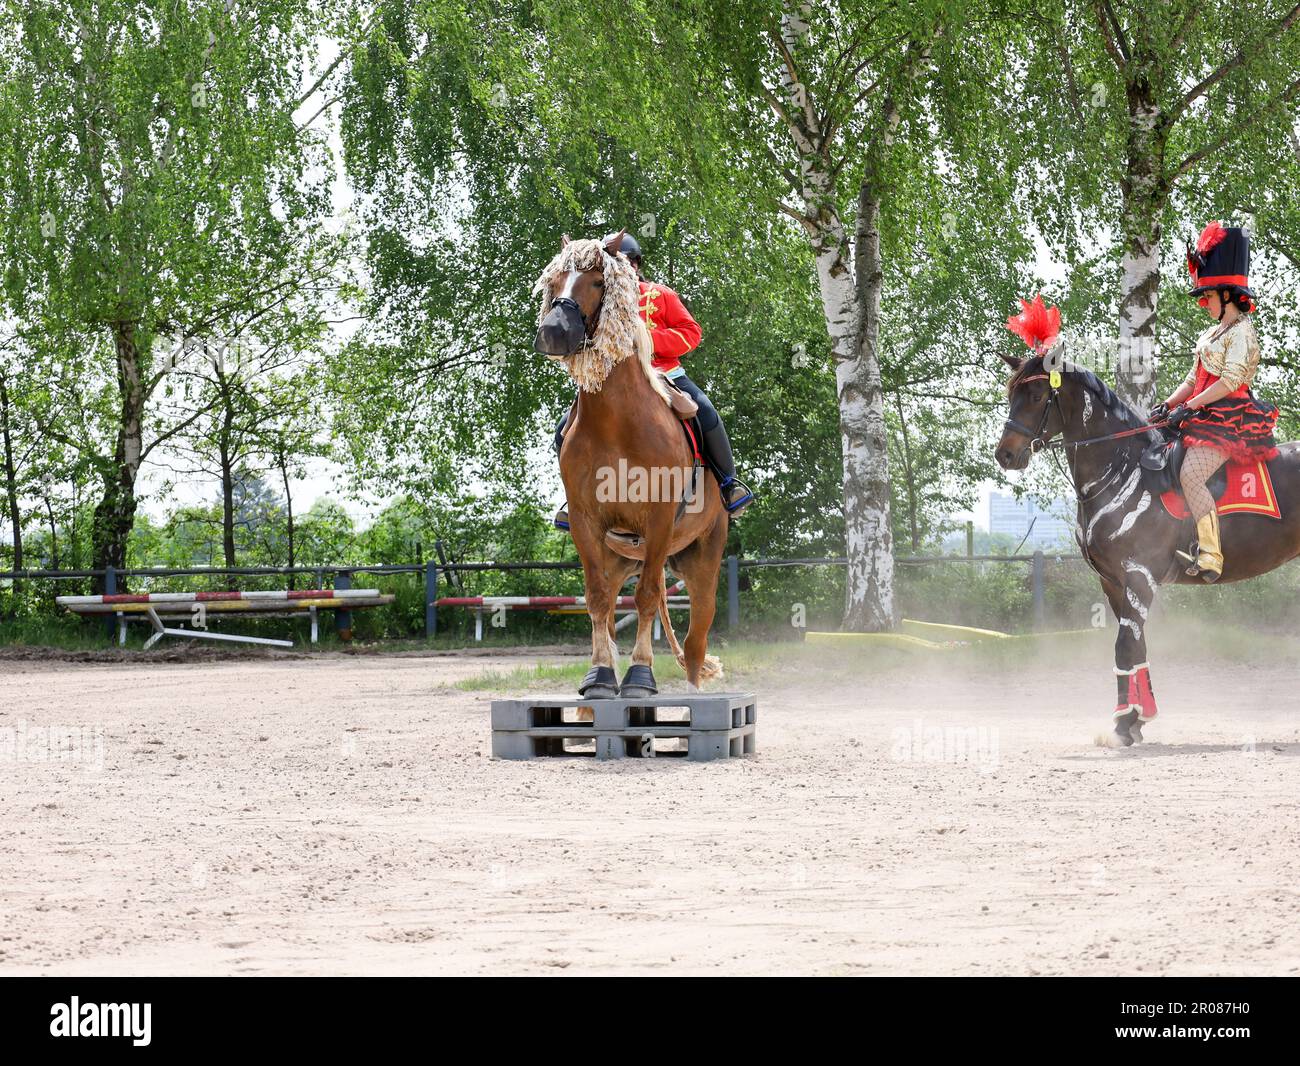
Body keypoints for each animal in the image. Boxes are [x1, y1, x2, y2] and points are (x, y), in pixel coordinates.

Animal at [532, 232, 726, 699]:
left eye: (598, 281)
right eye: (555, 280)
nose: (552, 332)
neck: (615, 422)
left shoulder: (657, 521)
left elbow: (646, 597)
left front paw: (640, 677)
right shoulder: (586, 523)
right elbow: (598, 599)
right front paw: (599, 677)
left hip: (703, 559)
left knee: (695, 640)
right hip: (621, 555)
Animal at [995, 349, 1300, 747]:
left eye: (1034, 397)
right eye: (1010, 395)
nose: (1005, 454)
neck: (1122, 470)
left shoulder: (1139, 575)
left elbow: (1124, 645)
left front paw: (1125, 723)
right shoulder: (1114, 582)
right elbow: (1136, 646)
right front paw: (1137, 718)